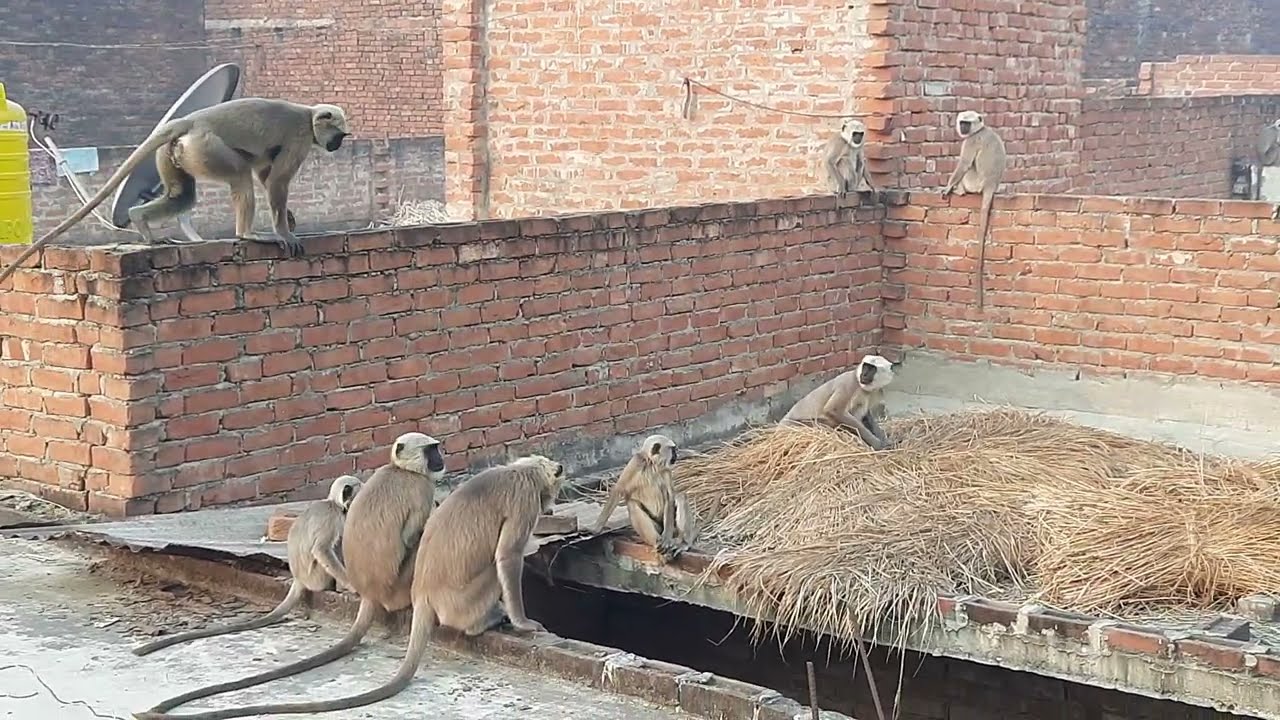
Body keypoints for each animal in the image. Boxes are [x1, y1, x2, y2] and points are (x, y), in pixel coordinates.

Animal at [0, 98, 350, 286]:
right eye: (338, 134)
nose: (337, 145)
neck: (307, 115)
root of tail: (189, 121)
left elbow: (267, 173)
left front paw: (288, 219)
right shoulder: (299, 137)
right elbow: (275, 181)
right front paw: (284, 232)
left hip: (176, 153)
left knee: (182, 196)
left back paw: (140, 220)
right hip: (205, 148)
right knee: (239, 175)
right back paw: (247, 234)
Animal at [130, 476, 362, 657]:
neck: (334, 504)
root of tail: (298, 578)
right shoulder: (334, 517)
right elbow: (322, 550)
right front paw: (352, 585)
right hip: (317, 576)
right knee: (335, 546)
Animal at [590, 434, 699, 562]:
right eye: (673, 450)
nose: (676, 455)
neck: (652, 463)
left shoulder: (666, 470)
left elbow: (670, 498)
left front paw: (667, 539)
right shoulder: (637, 461)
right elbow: (618, 490)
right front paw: (596, 529)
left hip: (672, 528)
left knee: (681, 497)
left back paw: (682, 543)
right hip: (656, 528)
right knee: (632, 504)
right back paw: (659, 547)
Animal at [942, 109, 1006, 310]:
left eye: (967, 123)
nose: (963, 128)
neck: (981, 129)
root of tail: (991, 184)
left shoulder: (971, 140)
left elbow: (963, 164)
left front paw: (948, 187)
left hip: (974, 182)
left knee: (967, 168)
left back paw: (959, 190)